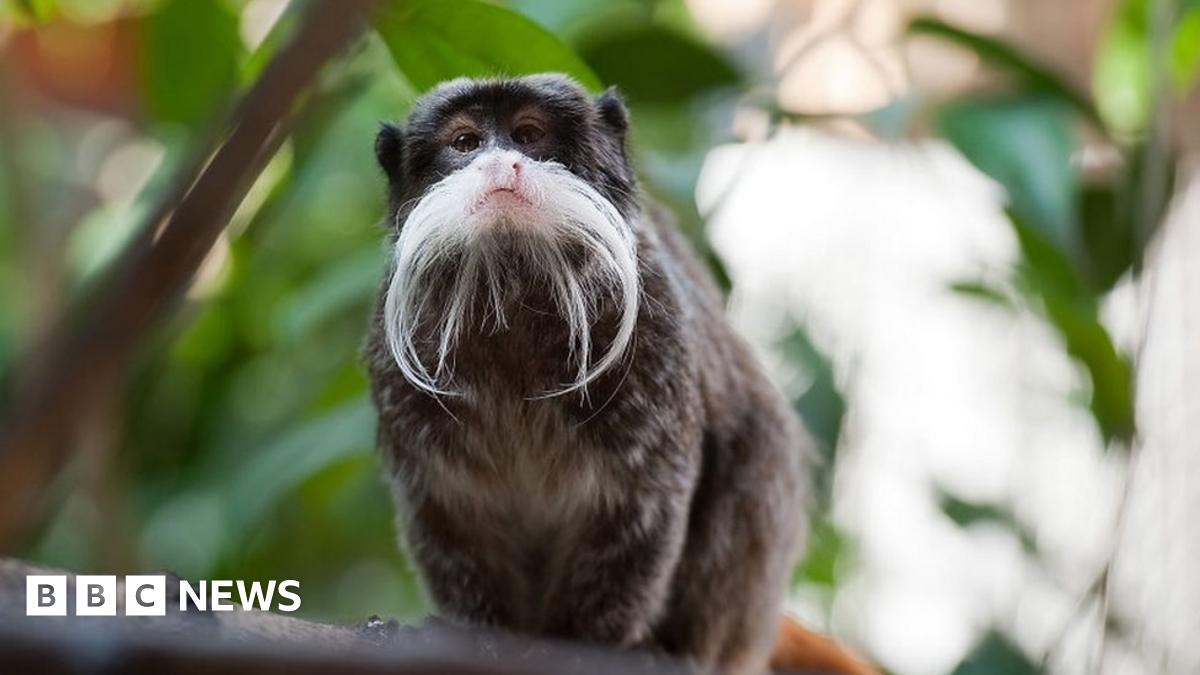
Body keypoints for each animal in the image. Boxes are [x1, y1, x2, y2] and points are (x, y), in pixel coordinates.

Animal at [364, 73, 875, 675]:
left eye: (528, 134)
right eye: (465, 143)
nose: (501, 164)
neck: (513, 293)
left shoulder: (655, 339)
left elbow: (642, 508)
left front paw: (581, 646)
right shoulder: (401, 380)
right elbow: (451, 517)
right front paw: (475, 637)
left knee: (757, 450)